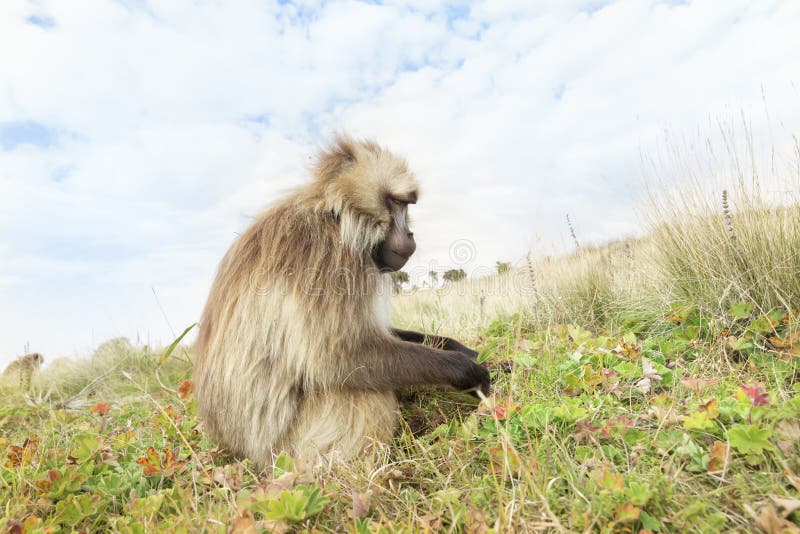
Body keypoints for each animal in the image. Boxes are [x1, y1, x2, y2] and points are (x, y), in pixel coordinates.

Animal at [194, 134, 489, 468]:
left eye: (407, 205)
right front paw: (467, 373)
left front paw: (464, 350)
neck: (335, 216)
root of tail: (238, 450)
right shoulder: (328, 256)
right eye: (399, 203)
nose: (411, 234)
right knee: (358, 385)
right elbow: (338, 356)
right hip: (290, 447)